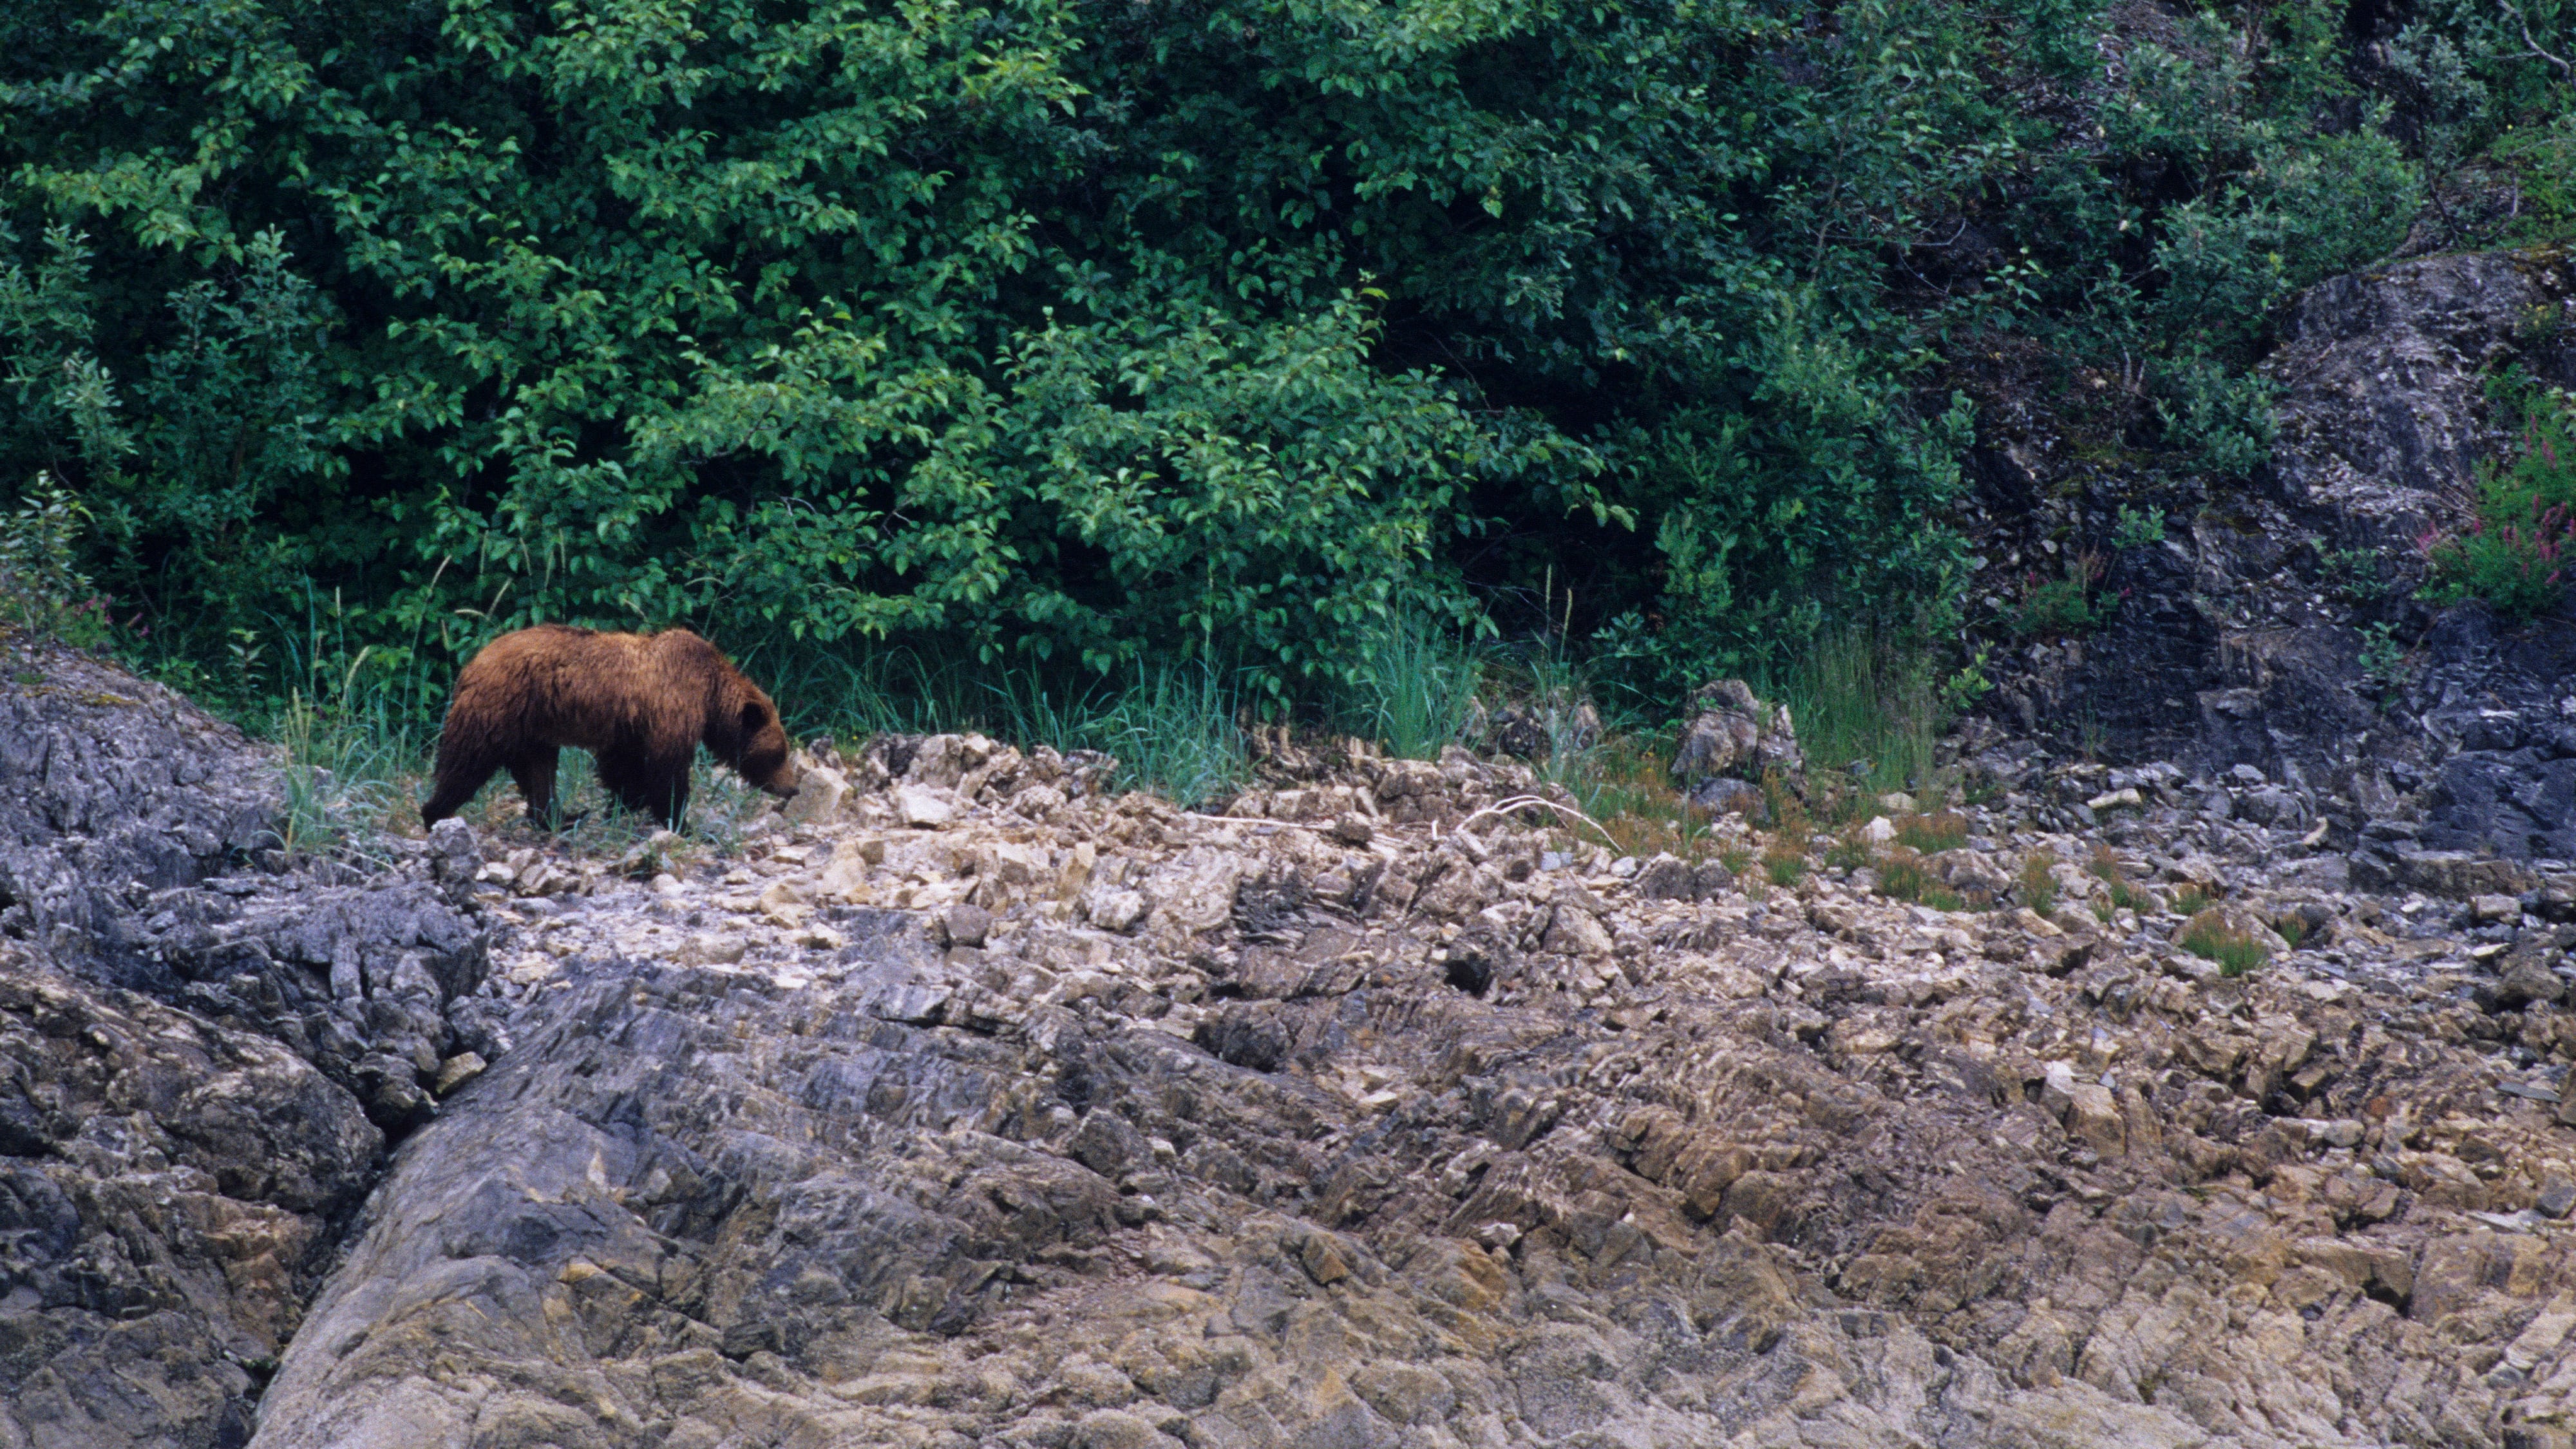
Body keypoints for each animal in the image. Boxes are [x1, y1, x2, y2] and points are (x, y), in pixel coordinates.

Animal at [419, 624, 798, 830]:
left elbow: (622, 766)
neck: (710, 693)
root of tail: (472, 664)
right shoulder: (671, 707)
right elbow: (668, 769)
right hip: (498, 709)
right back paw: (435, 813)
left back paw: (563, 816)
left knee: (539, 771)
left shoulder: (630, 726)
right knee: (468, 761)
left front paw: (622, 804)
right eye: (779, 754)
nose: (793, 789)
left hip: (533, 726)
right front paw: (681, 822)